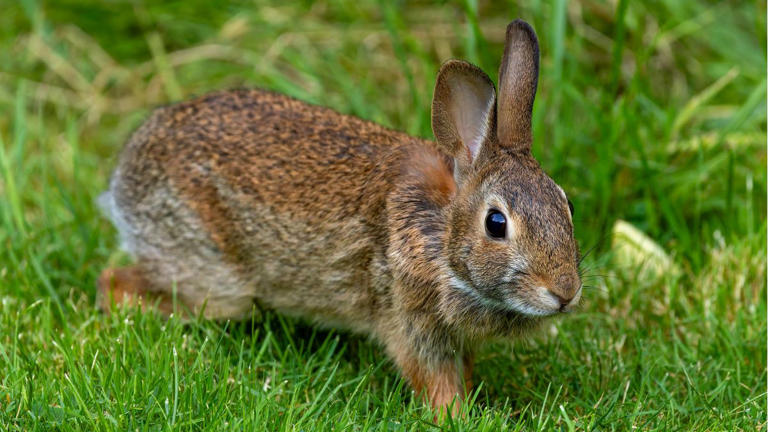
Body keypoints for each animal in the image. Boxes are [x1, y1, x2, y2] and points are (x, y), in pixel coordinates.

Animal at [97, 19, 581, 415]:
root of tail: (125, 172)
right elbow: (435, 381)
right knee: (119, 283)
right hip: (212, 274)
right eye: (496, 224)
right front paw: (456, 417)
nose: (565, 293)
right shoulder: (410, 323)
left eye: (566, 205)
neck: (441, 236)